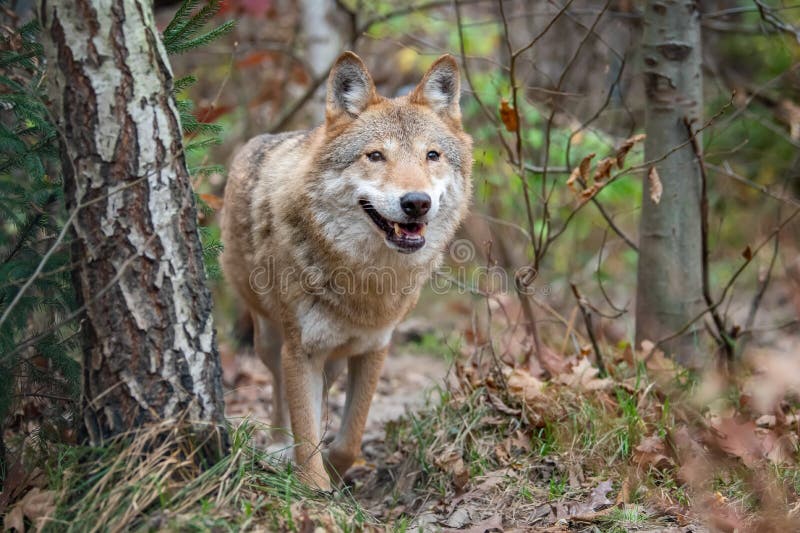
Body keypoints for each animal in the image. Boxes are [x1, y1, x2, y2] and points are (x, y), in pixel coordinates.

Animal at [221, 51, 472, 489]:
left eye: (432, 155)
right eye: (375, 156)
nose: (416, 202)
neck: (365, 277)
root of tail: (261, 138)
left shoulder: (375, 347)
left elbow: (350, 439)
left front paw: (332, 471)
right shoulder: (300, 351)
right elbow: (305, 431)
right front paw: (313, 488)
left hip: (334, 360)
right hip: (269, 339)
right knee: (279, 393)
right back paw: (277, 446)